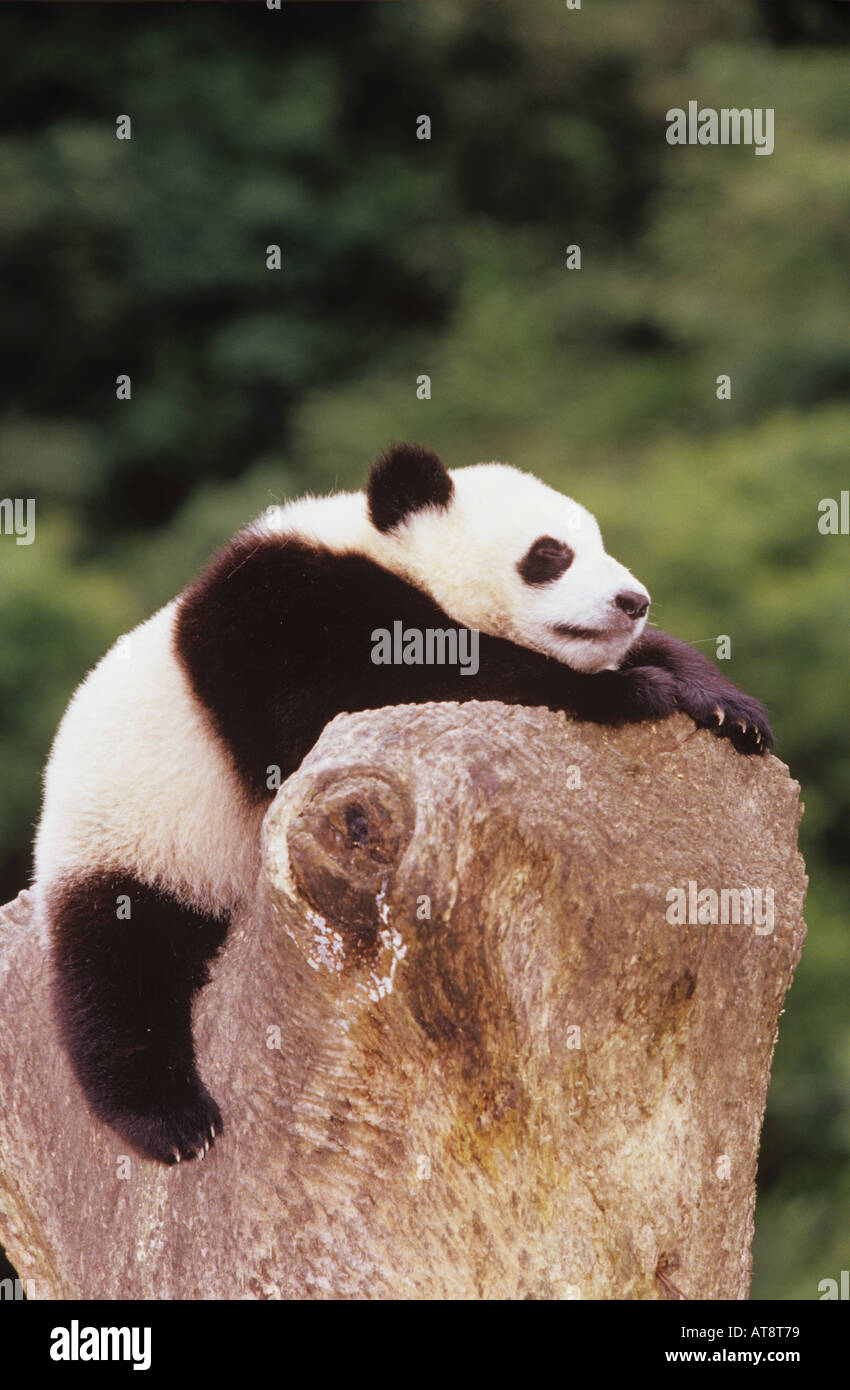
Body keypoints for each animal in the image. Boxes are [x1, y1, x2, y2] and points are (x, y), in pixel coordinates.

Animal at [34, 442, 772, 1164]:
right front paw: (633, 692)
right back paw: (170, 1119)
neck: (384, 551)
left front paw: (724, 704)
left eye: (599, 544)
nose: (632, 600)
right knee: (119, 963)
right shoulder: (280, 620)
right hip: (139, 833)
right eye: (550, 553)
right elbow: (378, 689)